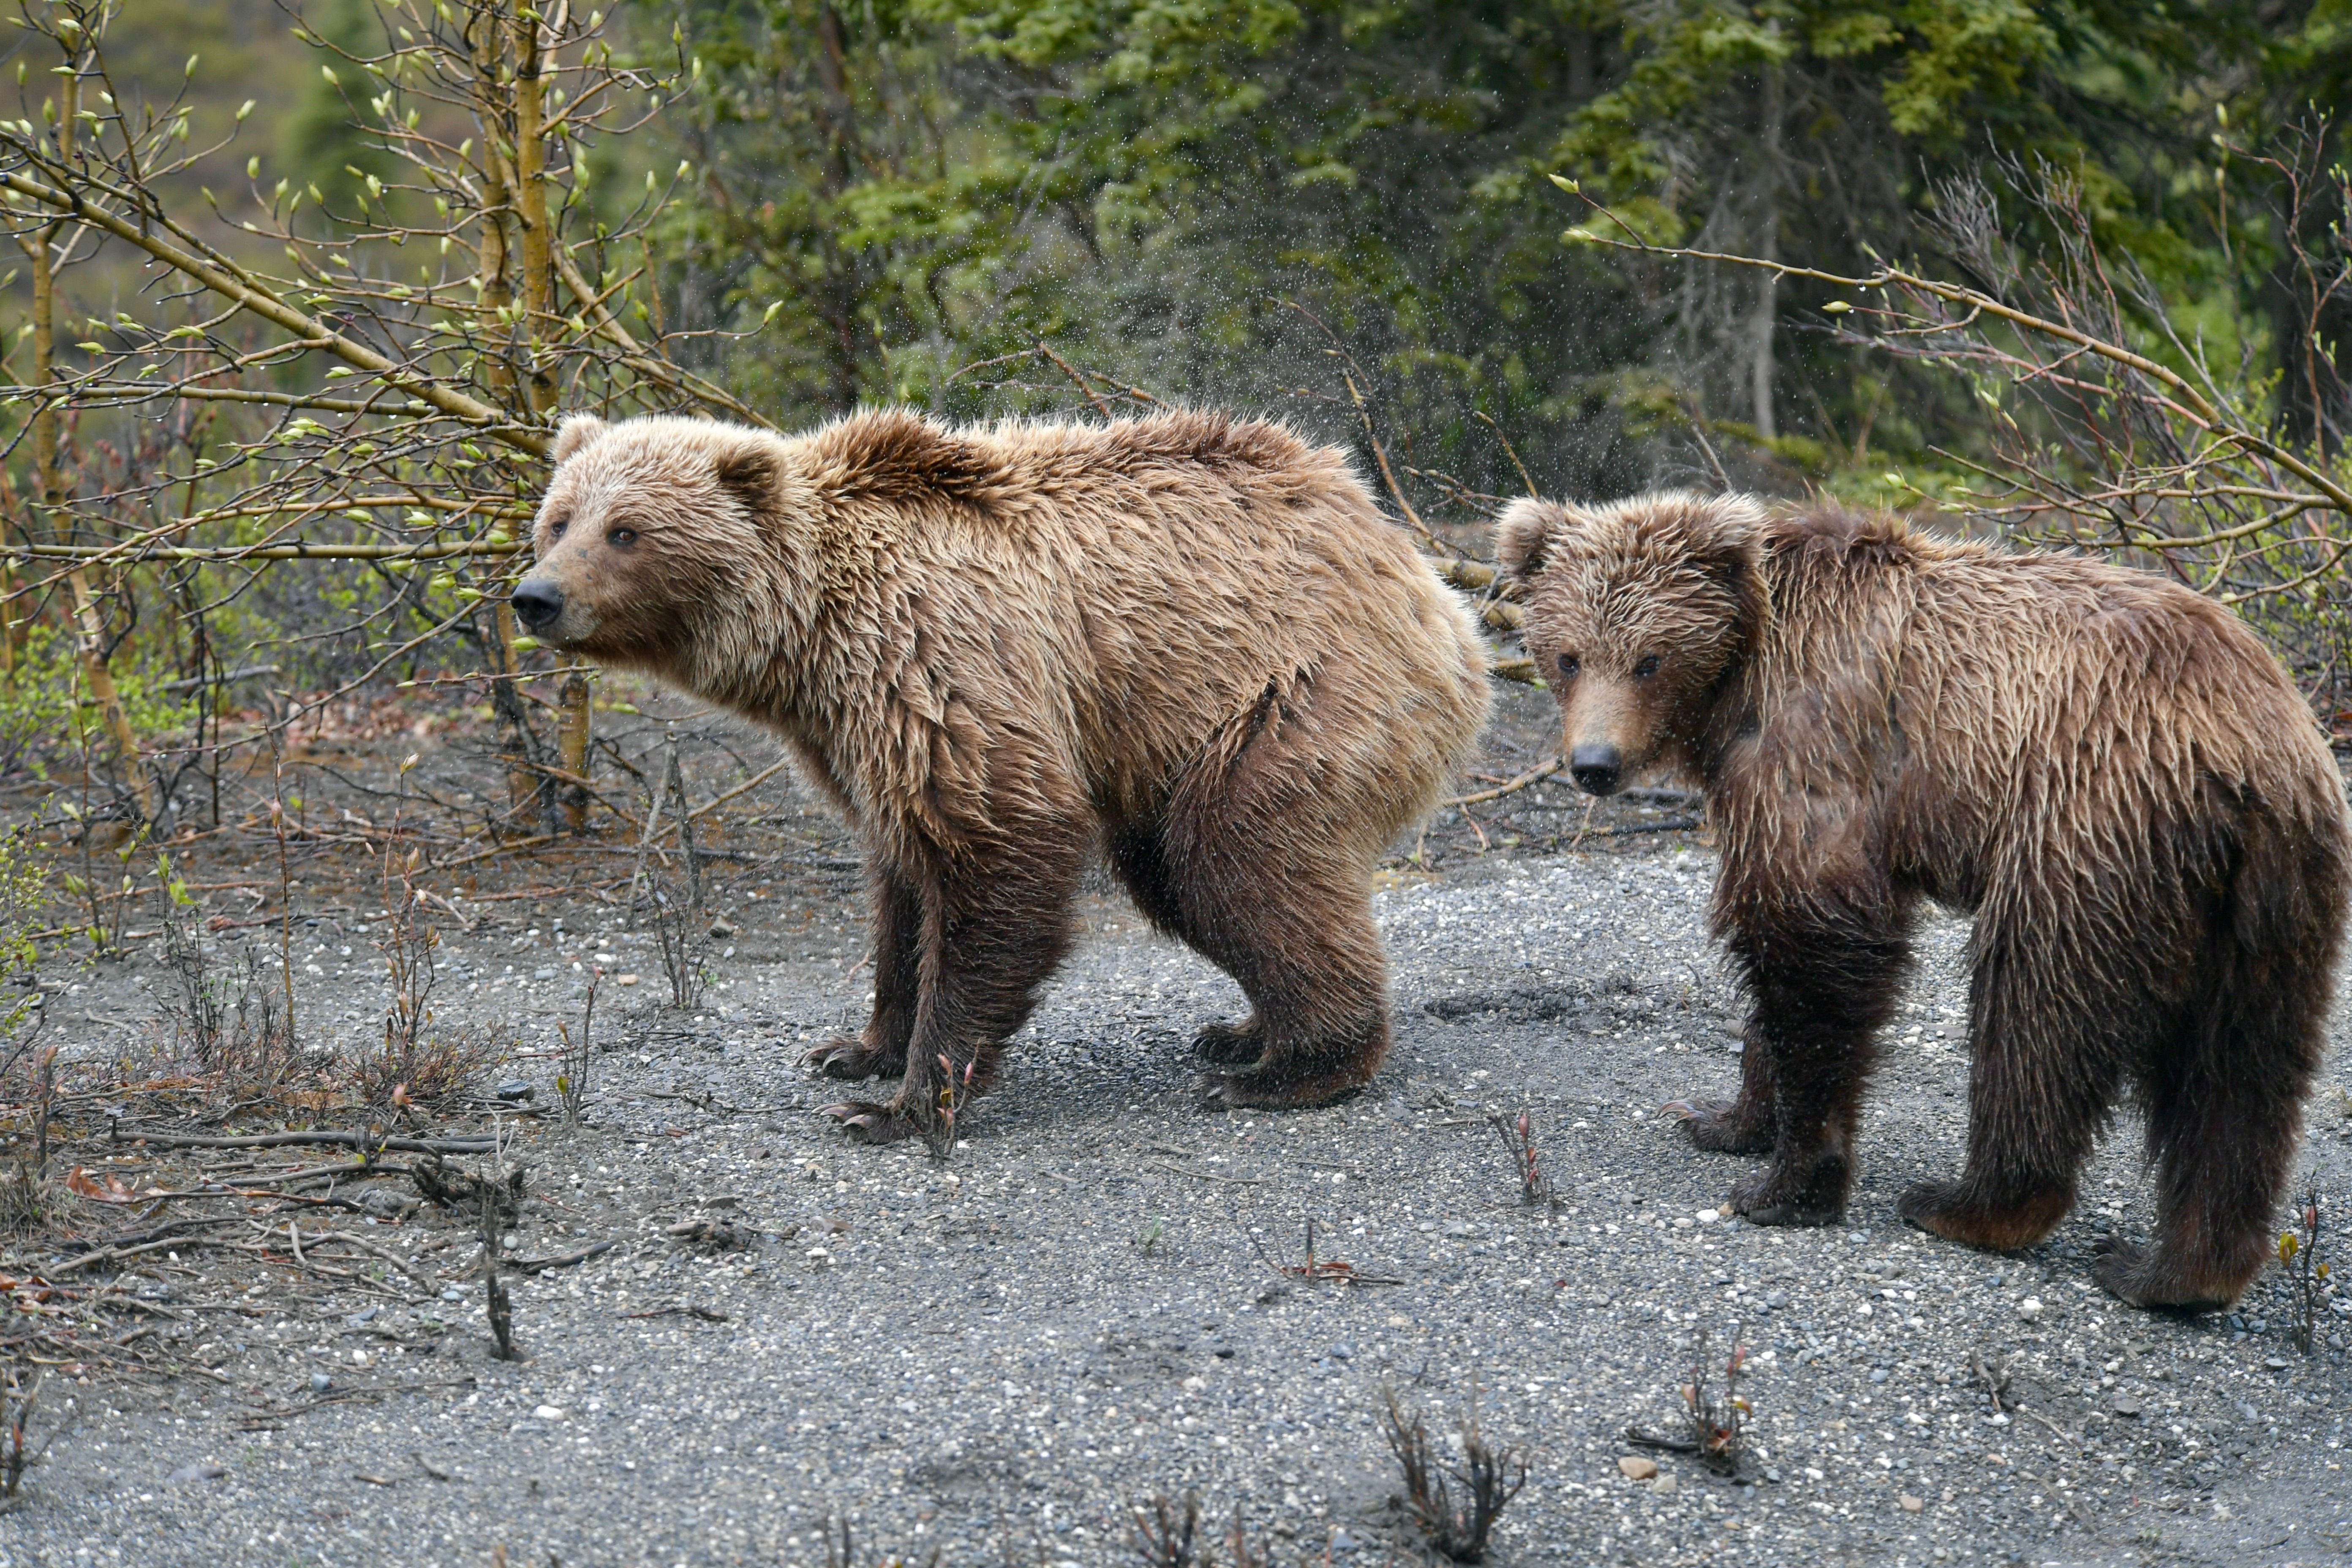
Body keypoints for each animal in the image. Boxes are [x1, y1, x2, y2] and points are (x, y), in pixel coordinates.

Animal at [516, 408, 1491, 1147]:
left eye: (626, 530)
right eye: (558, 518)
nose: (536, 596)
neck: (809, 635)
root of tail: (1432, 585)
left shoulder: (934, 662)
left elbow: (998, 846)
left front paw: (900, 1104)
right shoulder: (850, 736)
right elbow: (903, 888)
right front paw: (857, 1047)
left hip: (1283, 696)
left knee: (1240, 860)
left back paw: (1291, 1067)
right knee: (1188, 880)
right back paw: (1240, 1031)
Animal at [1499, 489, 2349, 1309]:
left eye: (1650, 659)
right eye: (1568, 655)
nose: (1594, 764)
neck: (1738, 680)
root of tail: (2259, 750)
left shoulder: (1819, 739)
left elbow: (1817, 937)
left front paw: (1785, 1184)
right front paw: (1721, 1118)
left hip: (2088, 829)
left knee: (2035, 1006)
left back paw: (1970, 1204)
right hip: (2270, 902)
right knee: (2241, 1069)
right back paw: (2177, 1272)